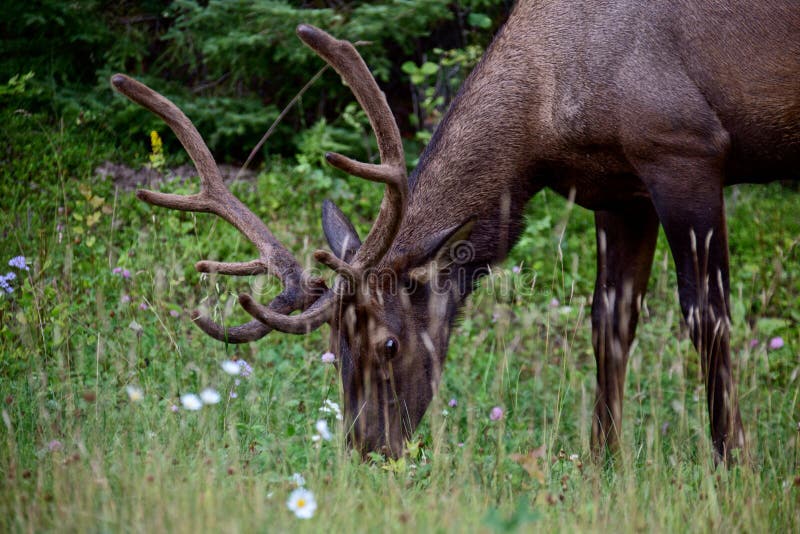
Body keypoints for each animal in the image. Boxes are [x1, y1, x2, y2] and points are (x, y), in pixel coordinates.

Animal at [111, 0, 799, 464]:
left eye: (388, 344)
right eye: (335, 345)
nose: (369, 449)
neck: (548, 111)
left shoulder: (685, 149)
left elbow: (706, 316)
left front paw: (731, 461)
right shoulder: (618, 190)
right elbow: (610, 323)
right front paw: (602, 460)